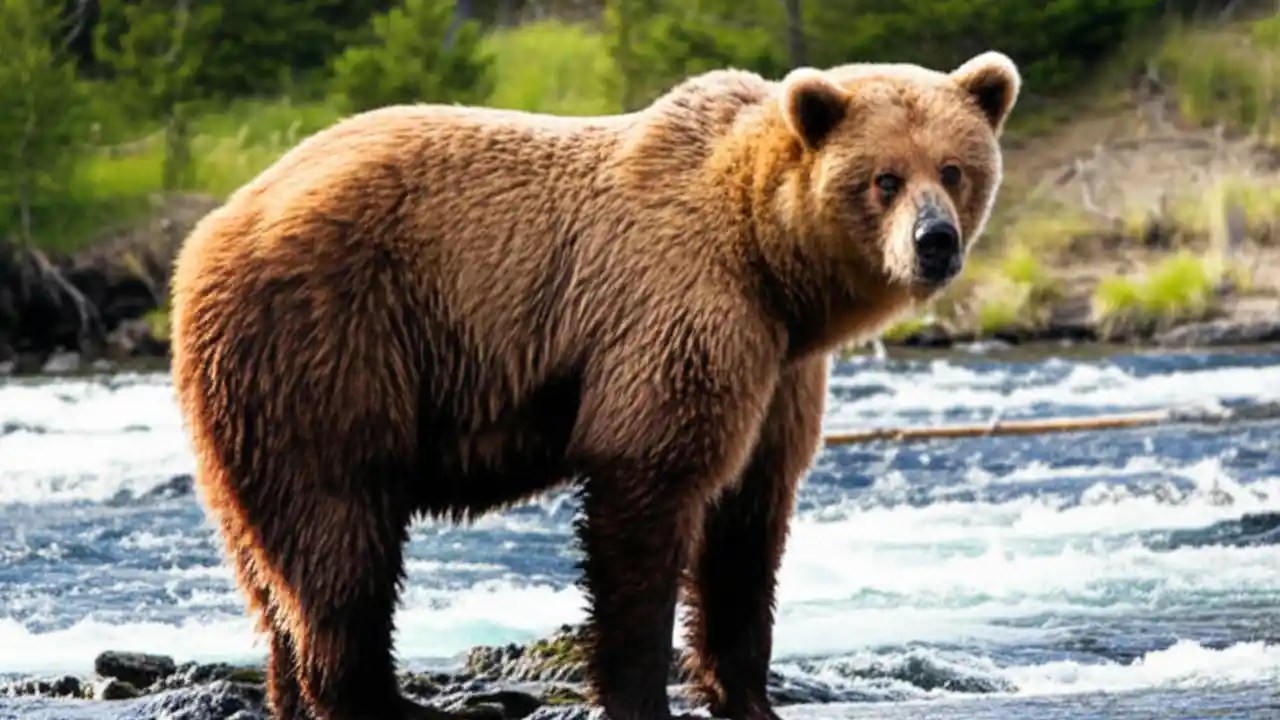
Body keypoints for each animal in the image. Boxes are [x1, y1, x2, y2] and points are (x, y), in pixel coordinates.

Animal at [169, 50, 1020, 720]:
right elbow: (647, 488)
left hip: (243, 403)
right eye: (884, 178)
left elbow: (749, 524)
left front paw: (749, 694)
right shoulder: (678, 311)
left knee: (271, 565)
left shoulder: (780, 369)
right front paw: (640, 691)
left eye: (954, 169)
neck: (772, 268)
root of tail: (204, 238)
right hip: (331, 343)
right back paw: (383, 700)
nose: (935, 241)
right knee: (339, 535)